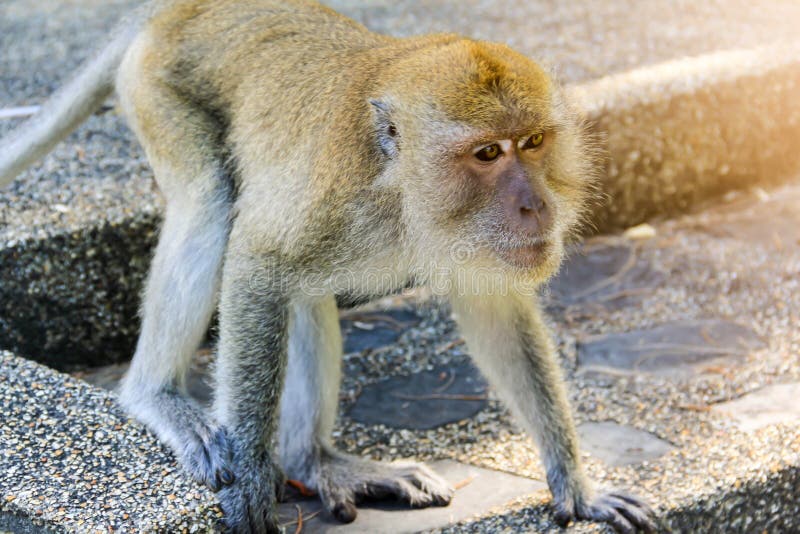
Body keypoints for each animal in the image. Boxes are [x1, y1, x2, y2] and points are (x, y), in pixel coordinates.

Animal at [0, 1, 657, 532]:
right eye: (489, 153)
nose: (535, 204)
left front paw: (577, 486)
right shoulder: (337, 202)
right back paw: (158, 398)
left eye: (535, 142)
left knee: (302, 289)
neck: (402, 193)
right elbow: (256, 261)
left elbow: (492, 307)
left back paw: (313, 462)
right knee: (212, 202)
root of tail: (177, 8)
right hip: (157, 87)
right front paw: (251, 481)